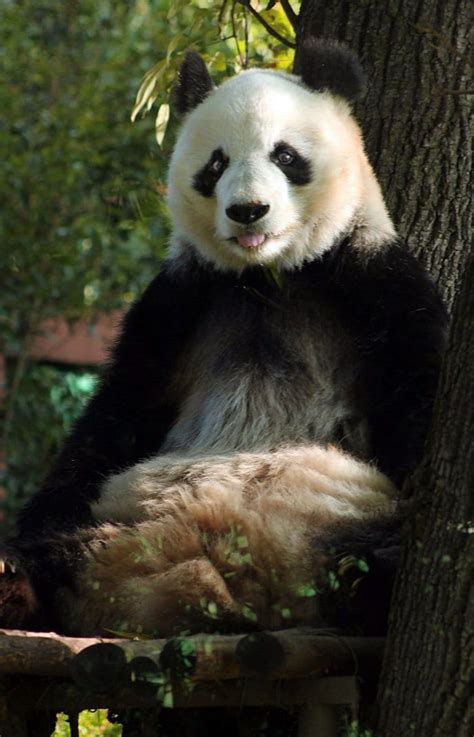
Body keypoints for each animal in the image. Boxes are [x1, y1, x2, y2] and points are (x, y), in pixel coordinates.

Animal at [0, 40, 447, 640]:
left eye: (285, 156)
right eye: (216, 164)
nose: (248, 210)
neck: (267, 277)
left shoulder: (370, 276)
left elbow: (418, 387)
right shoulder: (179, 303)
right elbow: (114, 415)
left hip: (343, 506)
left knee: (369, 545)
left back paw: (373, 571)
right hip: (116, 512)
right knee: (57, 543)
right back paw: (16, 580)